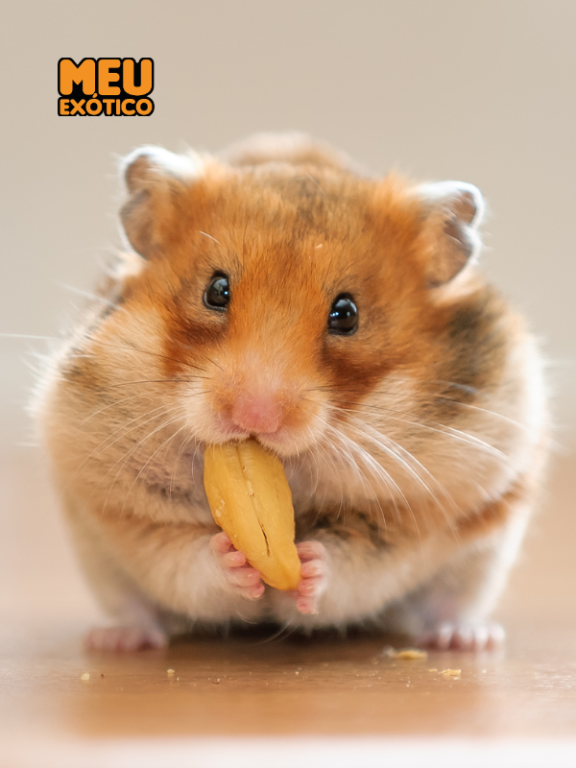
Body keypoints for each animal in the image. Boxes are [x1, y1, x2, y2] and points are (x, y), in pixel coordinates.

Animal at [33, 133, 548, 652]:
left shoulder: (418, 512)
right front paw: (233, 560)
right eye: (215, 291)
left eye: (347, 314)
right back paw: (117, 640)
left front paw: (309, 566)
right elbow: (183, 557)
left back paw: (467, 639)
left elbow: (358, 562)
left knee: (448, 604)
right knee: (134, 606)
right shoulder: (123, 505)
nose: (254, 418)